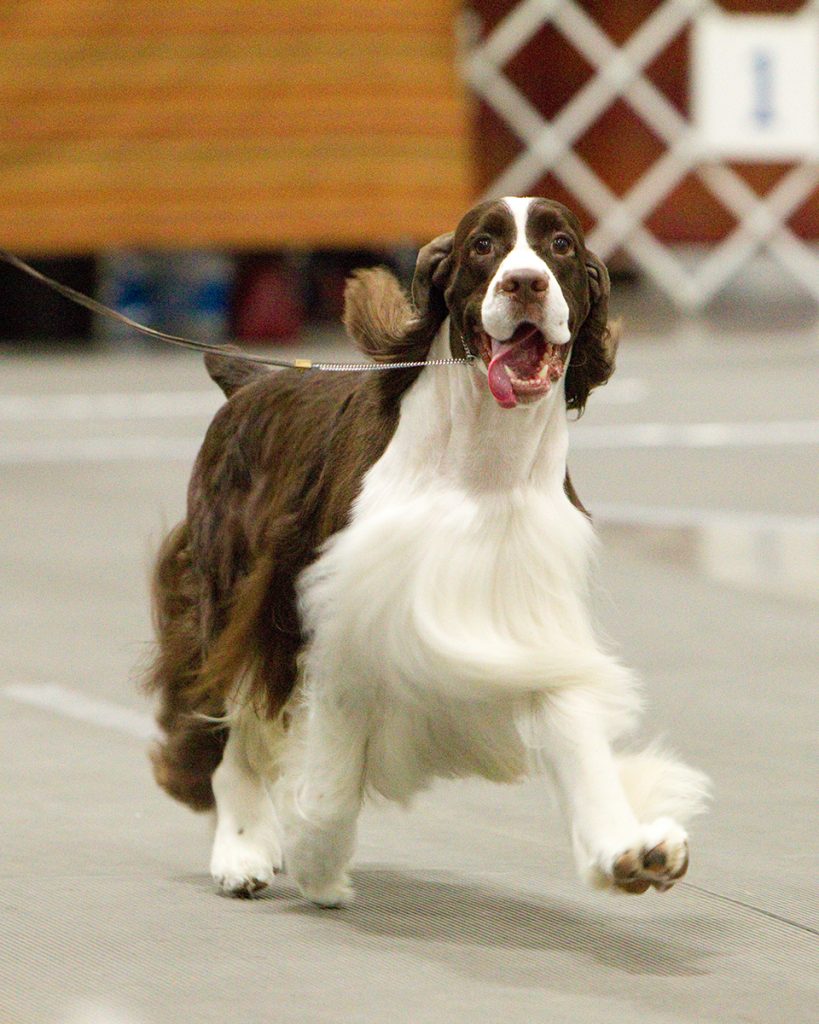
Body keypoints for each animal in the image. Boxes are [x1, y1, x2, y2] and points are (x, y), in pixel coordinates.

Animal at [147, 197, 708, 905]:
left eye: (560, 244)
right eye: (481, 247)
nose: (525, 282)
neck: (483, 463)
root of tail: (251, 382)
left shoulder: (523, 614)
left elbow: (574, 728)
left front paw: (630, 849)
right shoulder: (336, 606)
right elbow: (329, 772)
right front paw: (316, 860)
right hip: (231, 597)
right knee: (232, 732)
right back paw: (243, 851)